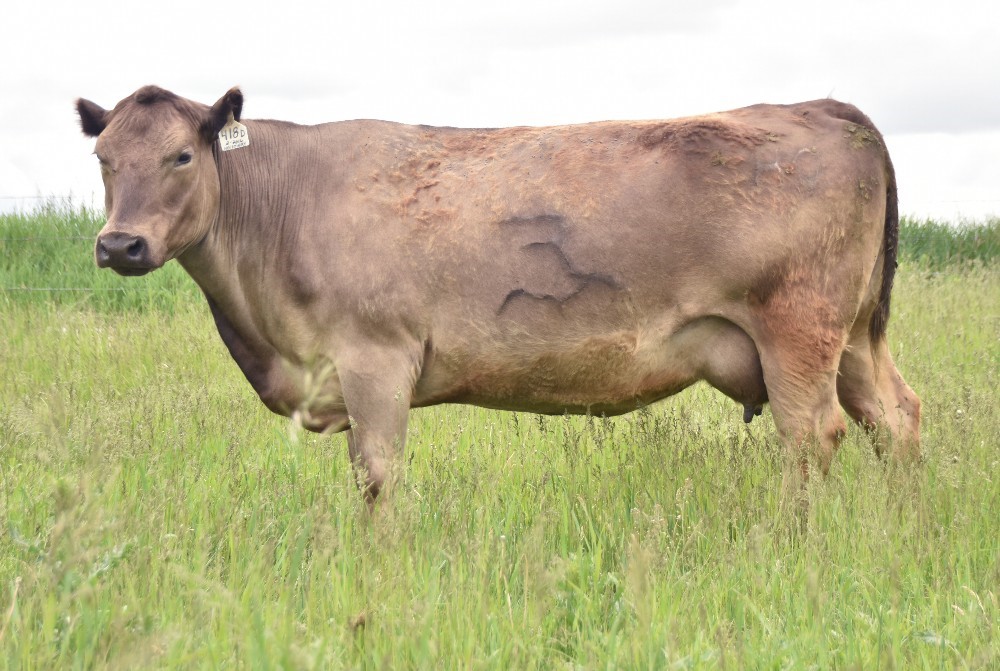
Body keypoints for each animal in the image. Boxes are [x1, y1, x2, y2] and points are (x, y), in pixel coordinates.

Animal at [76, 86, 921, 503]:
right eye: (104, 158)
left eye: (182, 156)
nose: (120, 245)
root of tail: (822, 107)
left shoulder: (374, 357)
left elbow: (376, 474)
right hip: (852, 334)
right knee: (896, 416)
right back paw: (903, 524)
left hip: (797, 330)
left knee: (812, 436)